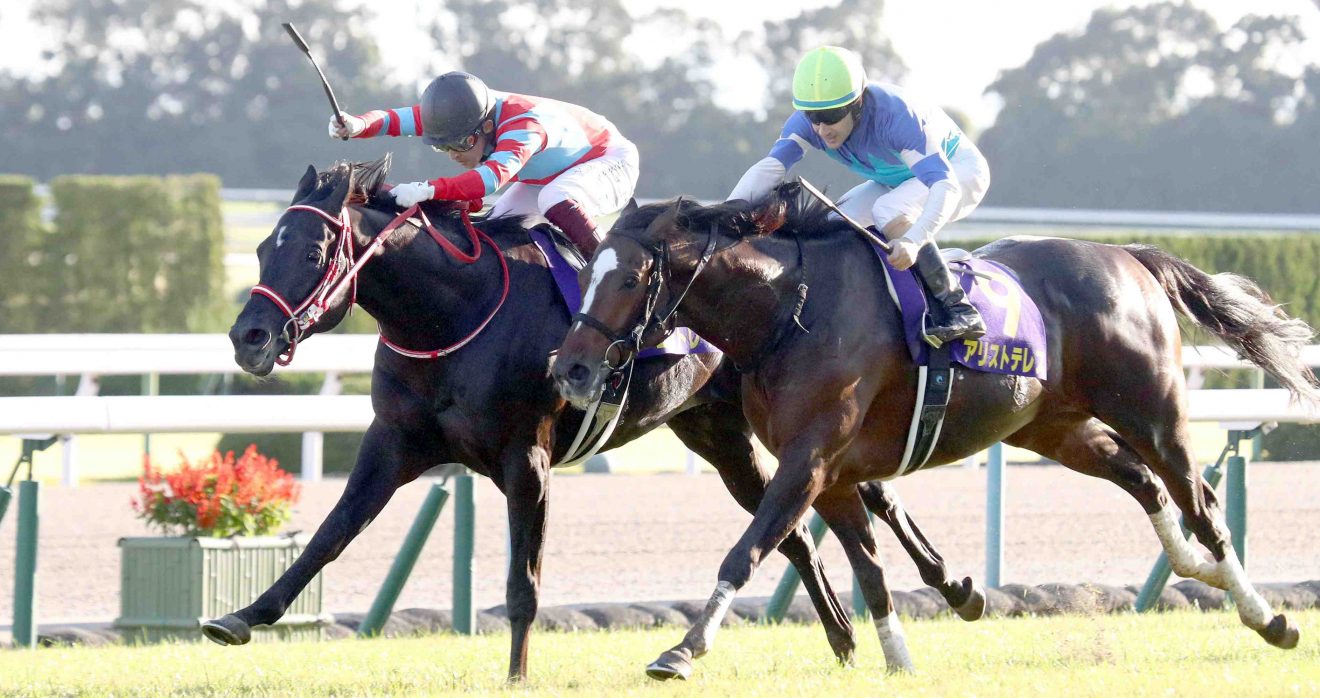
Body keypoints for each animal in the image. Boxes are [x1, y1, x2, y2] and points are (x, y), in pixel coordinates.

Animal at [202, 157, 984, 682]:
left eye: (311, 250)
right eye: (264, 246)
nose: (248, 338)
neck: (453, 314)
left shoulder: (528, 457)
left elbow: (523, 580)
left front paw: (516, 675)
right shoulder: (393, 443)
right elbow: (328, 536)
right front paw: (242, 617)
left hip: (793, 424)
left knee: (861, 498)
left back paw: (953, 589)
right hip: (722, 434)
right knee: (796, 530)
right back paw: (848, 639)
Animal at [553, 183, 1320, 680]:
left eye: (628, 280)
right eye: (586, 273)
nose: (570, 369)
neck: (785, 314)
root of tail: (1131, 256)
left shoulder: (810, 459)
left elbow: (747, 551)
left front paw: (682, 650)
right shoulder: (832, 472)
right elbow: (868, 568)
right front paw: (898, 659)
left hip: (1154, 412)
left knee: (1200, 501)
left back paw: (1267, 616)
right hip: (1052, 428)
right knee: (1142, 483)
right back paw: (1195, 569)